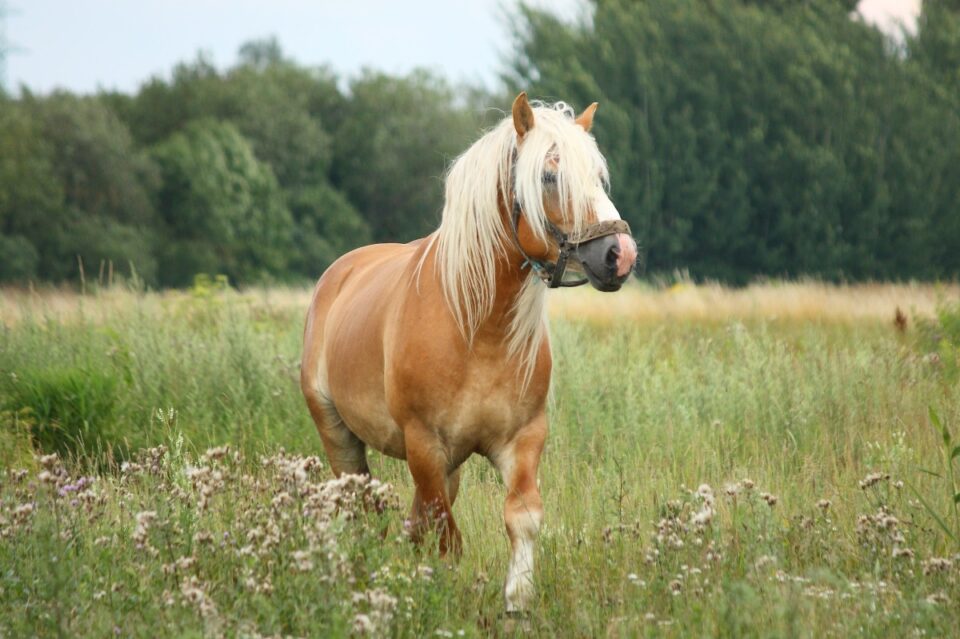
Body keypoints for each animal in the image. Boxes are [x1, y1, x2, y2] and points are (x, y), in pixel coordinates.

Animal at [300, 92, 637, 612]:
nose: (620, 254)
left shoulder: (522, 439)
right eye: (549, 176)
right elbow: (445, 538)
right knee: (359, 509)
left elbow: (521, 517)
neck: (478, 330)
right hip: (340, 436)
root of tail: (338, 273)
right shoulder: (423, 443)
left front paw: (517, 601)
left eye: (599, 176)